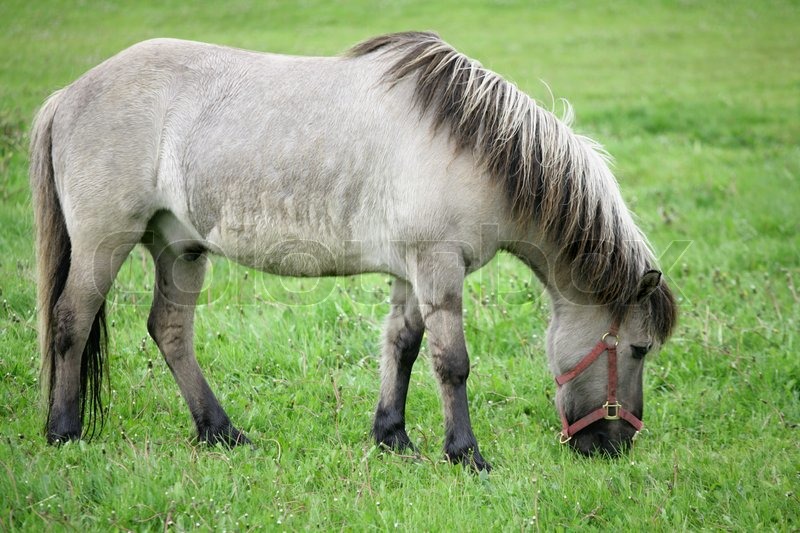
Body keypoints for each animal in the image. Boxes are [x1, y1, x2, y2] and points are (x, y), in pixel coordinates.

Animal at [30, 31, 676, 471]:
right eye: (639, 349)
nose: (616, 446)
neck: (473, 145)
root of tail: (69, 94)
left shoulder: (413, 273)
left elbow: (404, 348)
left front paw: (392, 436)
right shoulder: (438, 267)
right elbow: (452, 363)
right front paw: (465, 454)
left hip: (179, 246)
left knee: (168, 330)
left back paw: (221, 432)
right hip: (104, 242)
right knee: (70, 320)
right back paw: (64, 431)